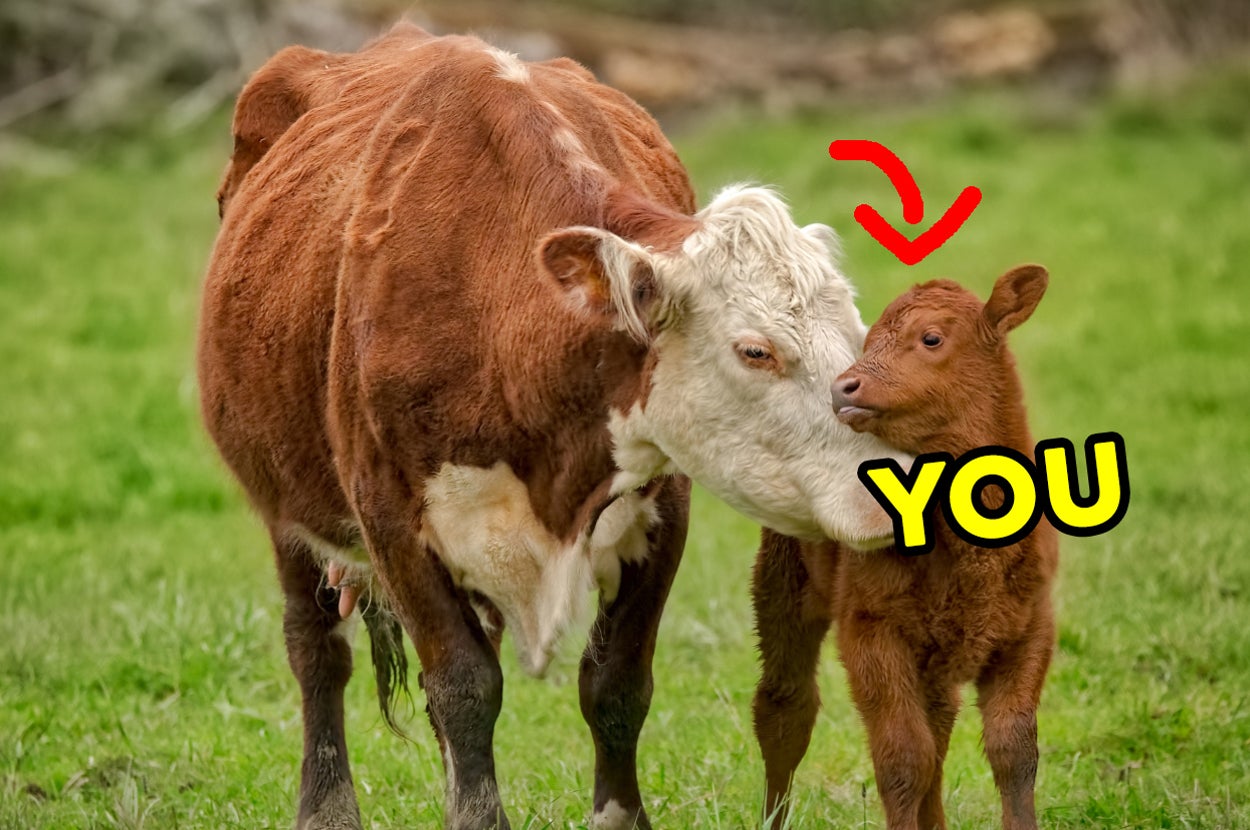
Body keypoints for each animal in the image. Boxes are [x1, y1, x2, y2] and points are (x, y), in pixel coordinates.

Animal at [198, 23, 908, 830]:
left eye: (857, 337)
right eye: (755, 351)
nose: (892, 491)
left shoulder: (663, 508)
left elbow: (615, 683)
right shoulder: (390, 517)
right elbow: (464, 688)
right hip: (287, 505)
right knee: (317, 649)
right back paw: (326, 806)